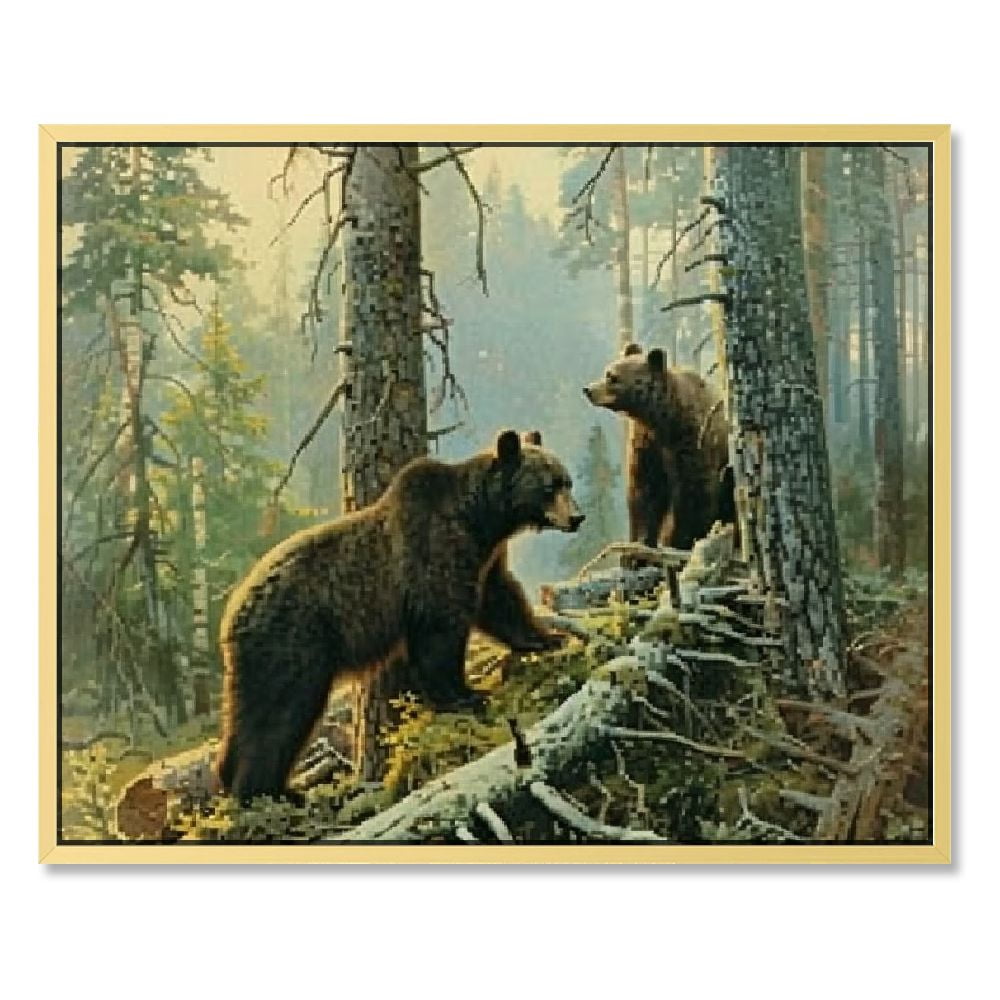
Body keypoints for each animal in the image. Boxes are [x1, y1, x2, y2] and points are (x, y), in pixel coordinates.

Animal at [215, 429, 584, 801]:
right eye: (550, 486)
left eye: (567, 481)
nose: (577, 518)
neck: (480, 520)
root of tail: (232, 615)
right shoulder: (432, 551)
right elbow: (440, 628)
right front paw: (464, 695)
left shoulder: (485, 559)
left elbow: (500, 601)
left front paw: (548, 638)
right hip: (293, 638)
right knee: (282, 711)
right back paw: (267, 790)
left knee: (247, 712)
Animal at [583, 344, 733, 550]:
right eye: (607, 370)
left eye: (612, 377)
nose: (588, 389)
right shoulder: (648, 445)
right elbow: (646, 490)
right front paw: (641, 542)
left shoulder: (693, 443)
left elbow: (694, 494)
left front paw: (677, 539)